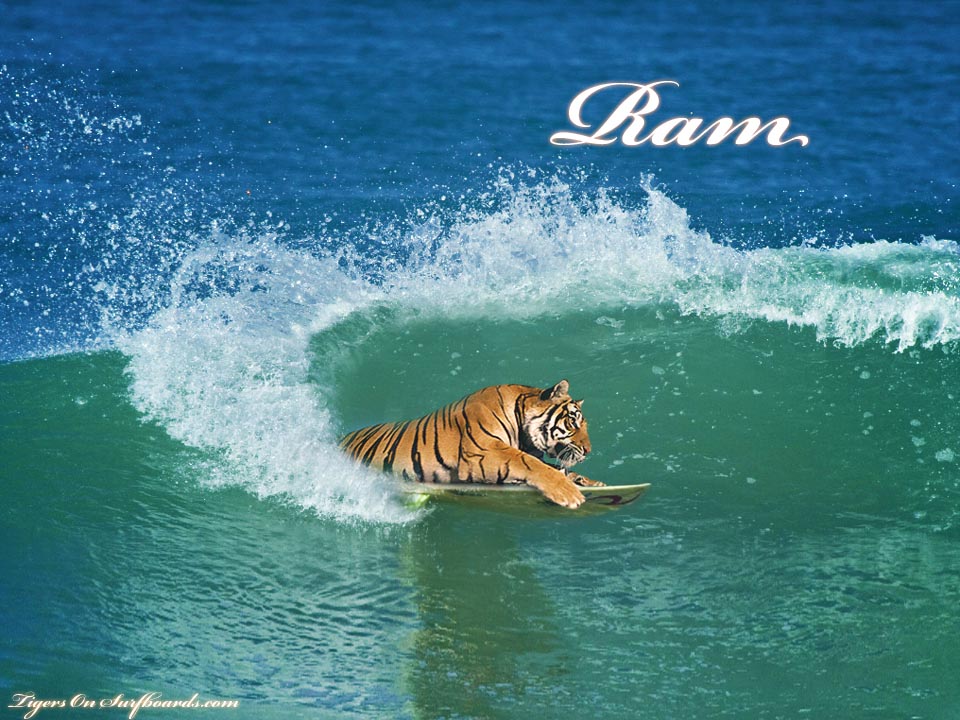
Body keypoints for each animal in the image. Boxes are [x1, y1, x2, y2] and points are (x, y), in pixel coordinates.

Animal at [339, 380, 603, 509]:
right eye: (572, 421)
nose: (589, 450)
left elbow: (557, 468)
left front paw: (593, 484)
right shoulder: (484, 453)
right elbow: (530, 464)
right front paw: (570, 493)